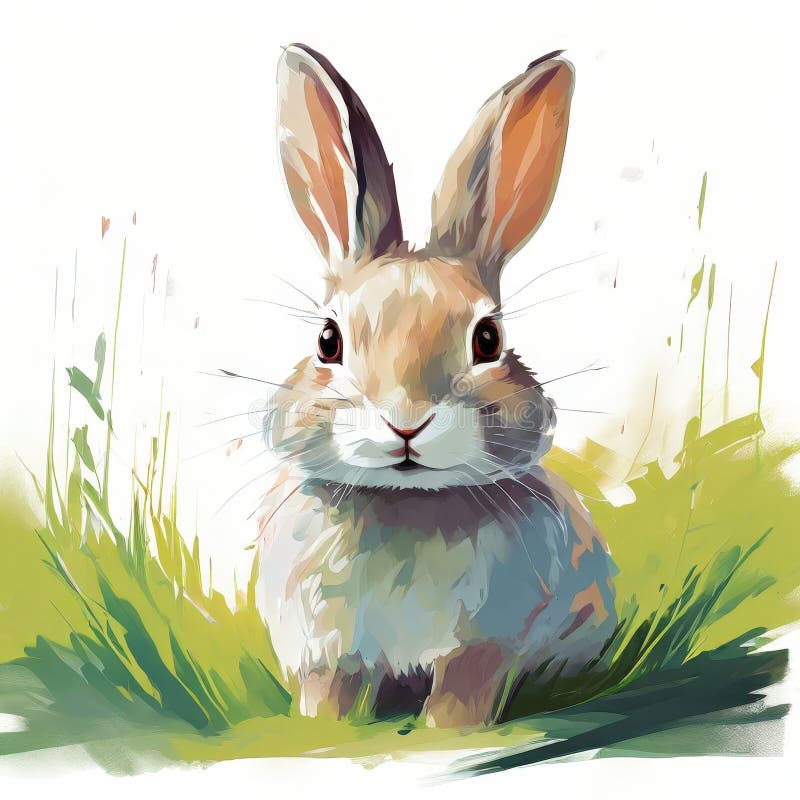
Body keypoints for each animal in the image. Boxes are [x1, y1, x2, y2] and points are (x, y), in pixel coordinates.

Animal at [255, 43, 617, 728]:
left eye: (489, 340)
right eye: (327, 341)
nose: (406, 421)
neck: (405, 507)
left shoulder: (483, 647)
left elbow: (459, 700)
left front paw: (444, 737)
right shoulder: (324, 652)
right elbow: (328, 700)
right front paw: (320, 734)